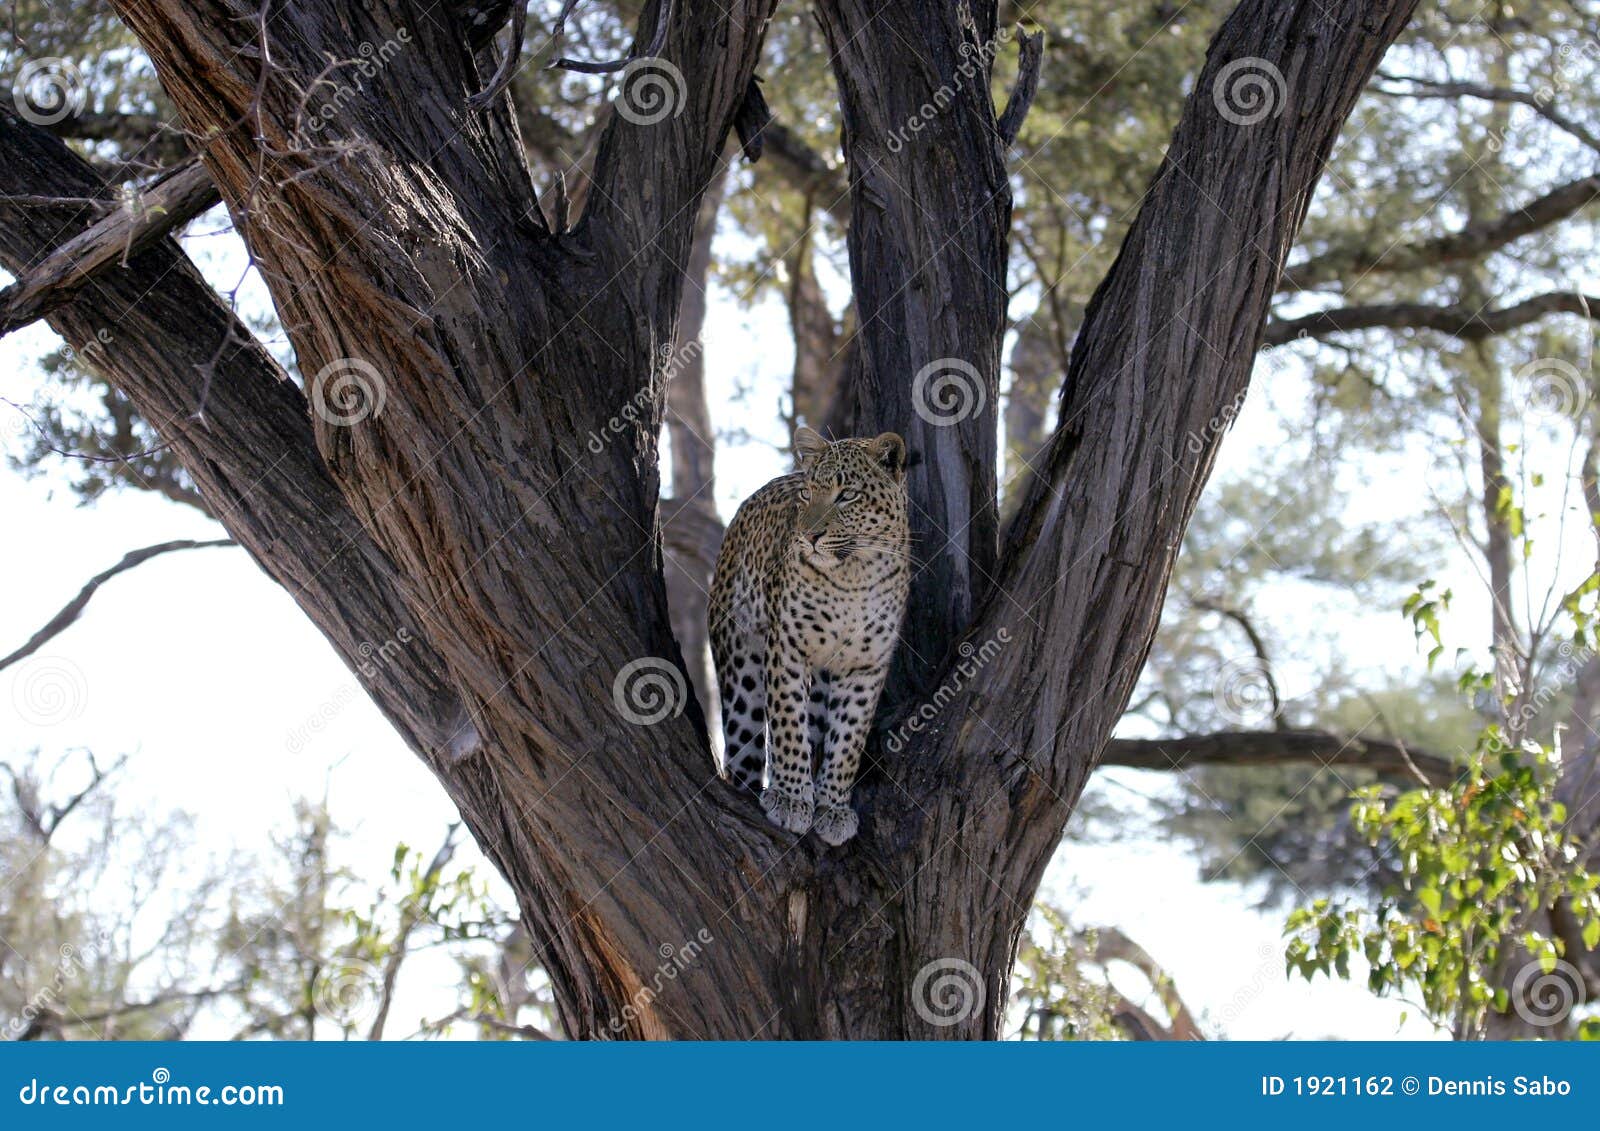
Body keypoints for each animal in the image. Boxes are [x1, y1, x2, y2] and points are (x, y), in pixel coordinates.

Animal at [708, 427, 910, 846]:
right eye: (806, 493)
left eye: (846, 495)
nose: (809, 536)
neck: (854, 576)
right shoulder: (788, 646)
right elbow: (787, 724)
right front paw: (790, 798)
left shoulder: (866, 664)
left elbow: (849, 738)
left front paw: (832, 807)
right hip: (740, 668)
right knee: (745, 746)